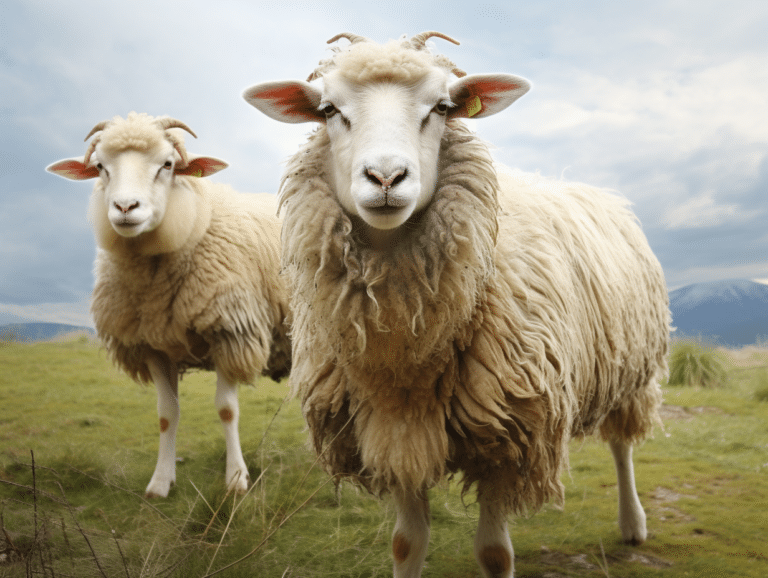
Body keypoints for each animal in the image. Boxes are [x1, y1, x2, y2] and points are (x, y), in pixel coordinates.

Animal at [46, 112, 290, 498]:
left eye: (168, 164)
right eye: (100, 166)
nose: (125, 208)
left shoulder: (229, 333)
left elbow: (227, 411)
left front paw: (236, 479)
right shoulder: (153, 345)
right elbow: (166, 415)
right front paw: (160, 483)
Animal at [243, 32, 670, 578]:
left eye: (442, 108)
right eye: (329, 110)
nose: (386, 177)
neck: (406, 354)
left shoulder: (509, 438)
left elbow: (493, 553)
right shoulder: (393, 433)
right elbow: (406, 544)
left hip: (631, 368)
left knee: (621, 446)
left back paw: (632, 523)